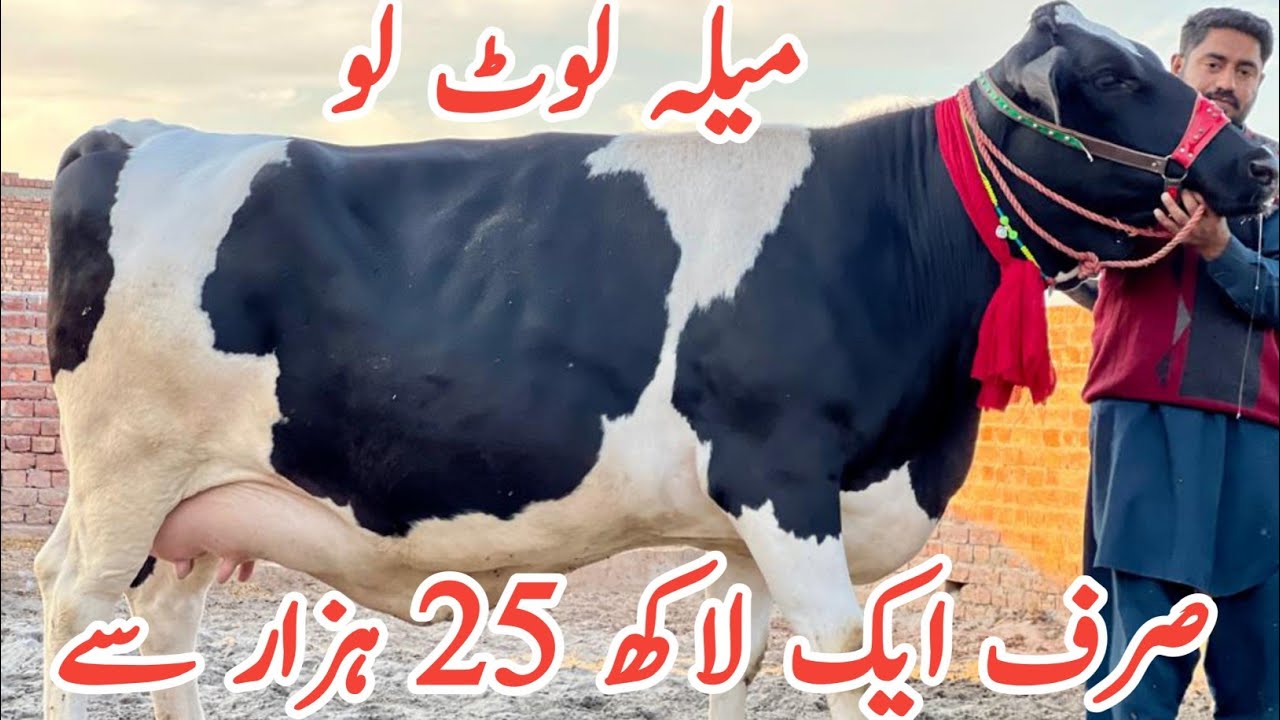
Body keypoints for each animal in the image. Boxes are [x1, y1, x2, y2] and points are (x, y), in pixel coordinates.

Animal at [34, 2, 1278, 719]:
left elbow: (742, 665)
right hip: (125, 477)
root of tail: (132, 132)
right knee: (71, 608)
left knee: (163, 624)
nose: (1257, 160)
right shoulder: (782, 479)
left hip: (204, 503)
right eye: (1114, 80)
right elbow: (837, 659)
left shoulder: (752, 525)